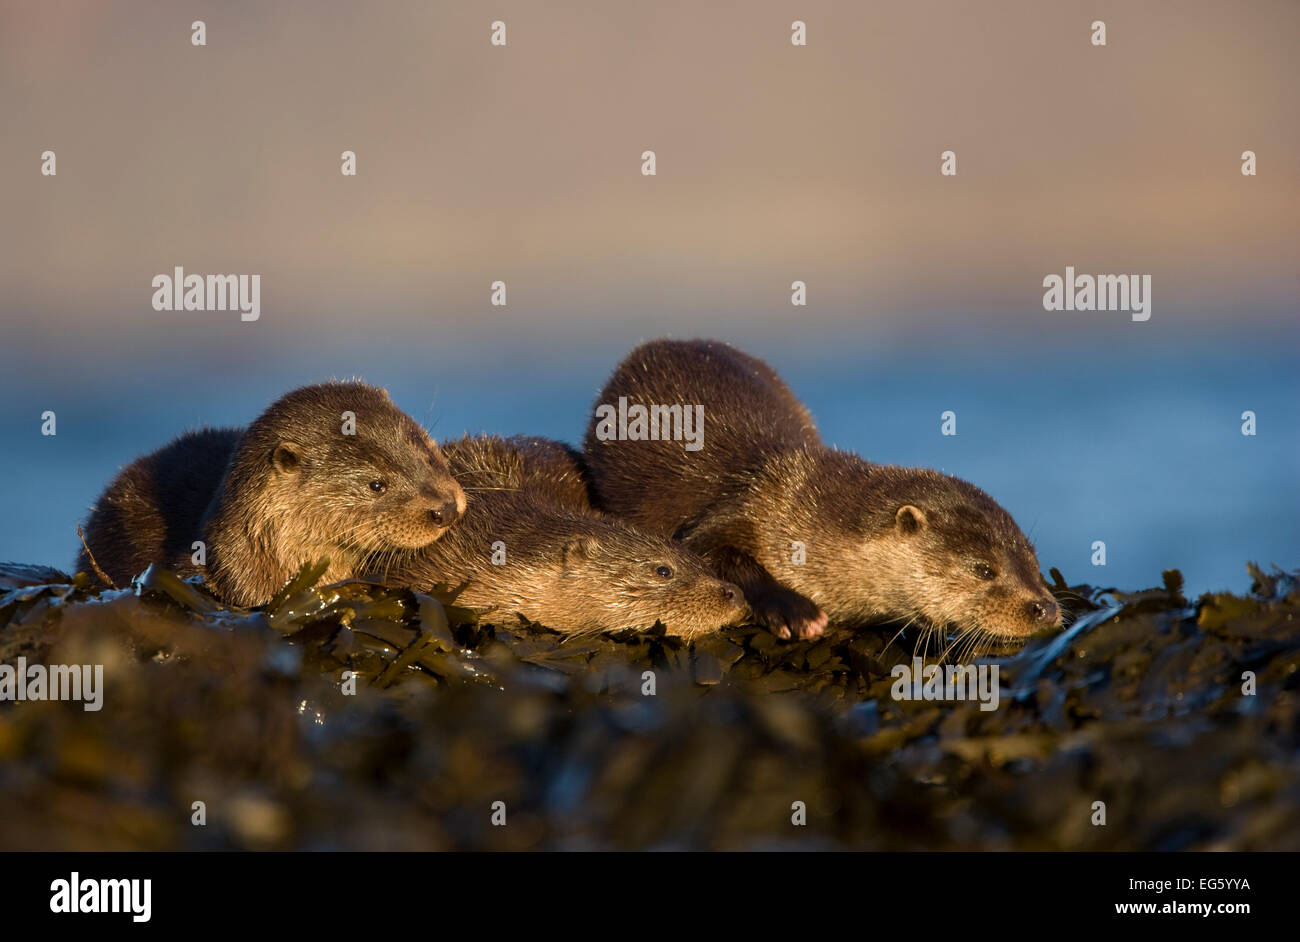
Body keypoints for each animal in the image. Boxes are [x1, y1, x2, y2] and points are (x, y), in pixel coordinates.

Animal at [582, 339, 1061, 644]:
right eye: (984, 569)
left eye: (1034, 560)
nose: (1046, 608)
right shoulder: (746, 504)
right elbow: (711, 550)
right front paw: (795, 611)